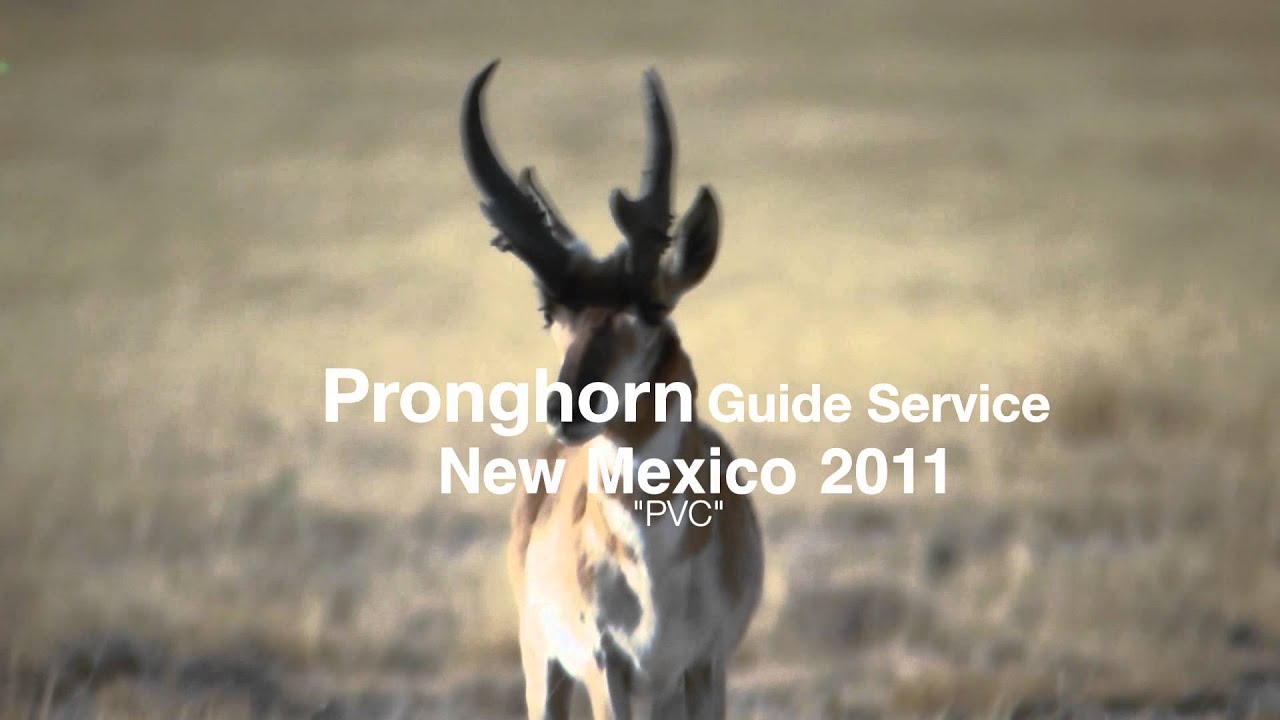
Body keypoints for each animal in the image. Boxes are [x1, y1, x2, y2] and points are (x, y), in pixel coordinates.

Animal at [460, 60, 764, 719]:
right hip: (544, 665)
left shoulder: (704, 667)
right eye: (550, 312)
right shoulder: (608, 668)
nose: (568, 406)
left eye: (651, 307)